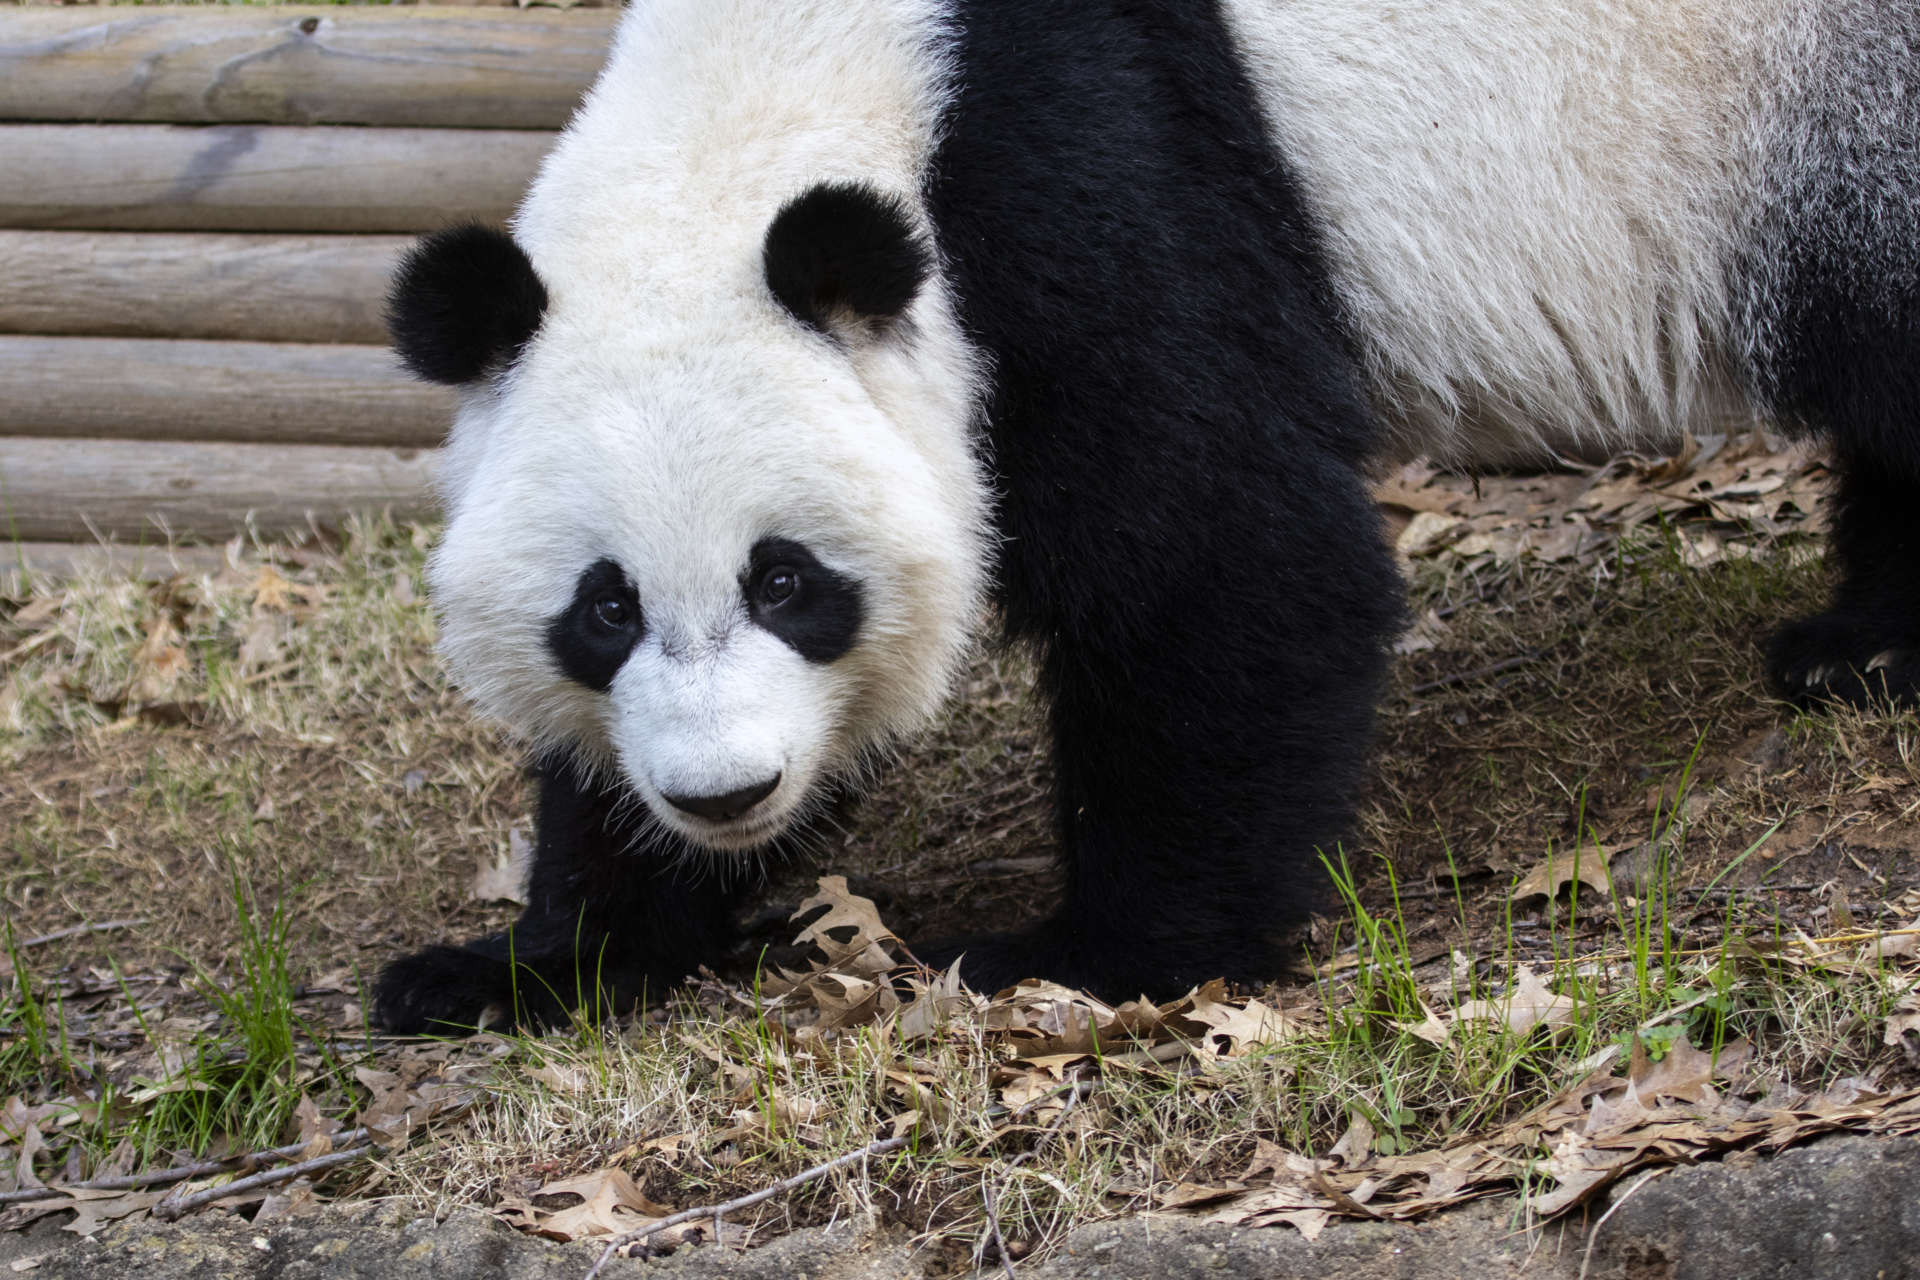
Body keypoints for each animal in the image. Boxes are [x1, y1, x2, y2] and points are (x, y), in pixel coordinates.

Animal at [373, 0, 1920, 1031]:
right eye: (605, 607)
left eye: (787, 581)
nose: (723, 794)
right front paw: (532, 963)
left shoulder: (1083, 184)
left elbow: (1222, 561)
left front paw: (1092, 953)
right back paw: (1859, 642)